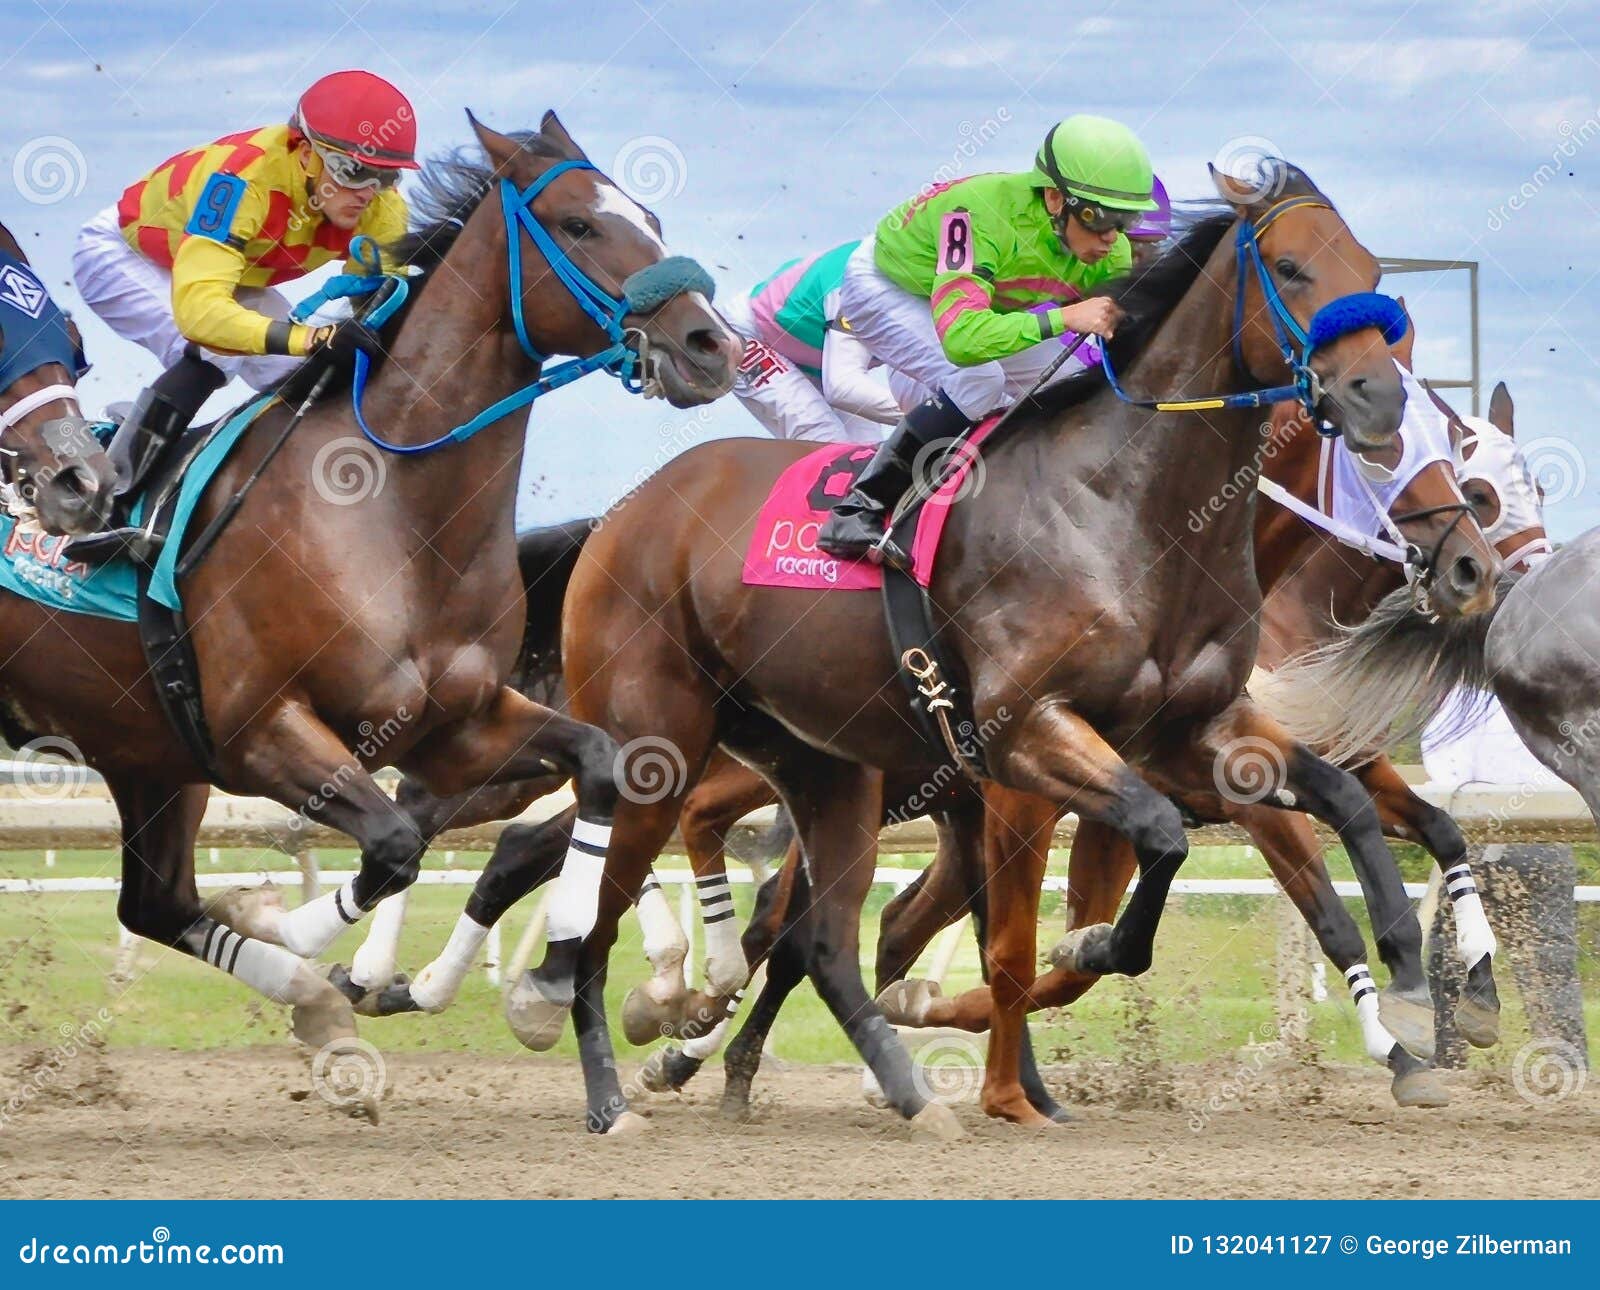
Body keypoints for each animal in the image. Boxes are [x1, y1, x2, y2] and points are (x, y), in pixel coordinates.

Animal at [407, 159, 1496, 1135]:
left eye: (1370, 271)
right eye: (1292, 267)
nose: (1374, 398)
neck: (1130, 508)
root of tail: (628, 511)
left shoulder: (1193, 733)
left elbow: (1343, 808)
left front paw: (1414, 992)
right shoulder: (1026, 740)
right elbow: (1124, 867)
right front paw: (1061, 991)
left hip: (815, 765)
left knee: (803, 928)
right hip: (658, 745)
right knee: (609, 897)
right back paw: (608, 1041)